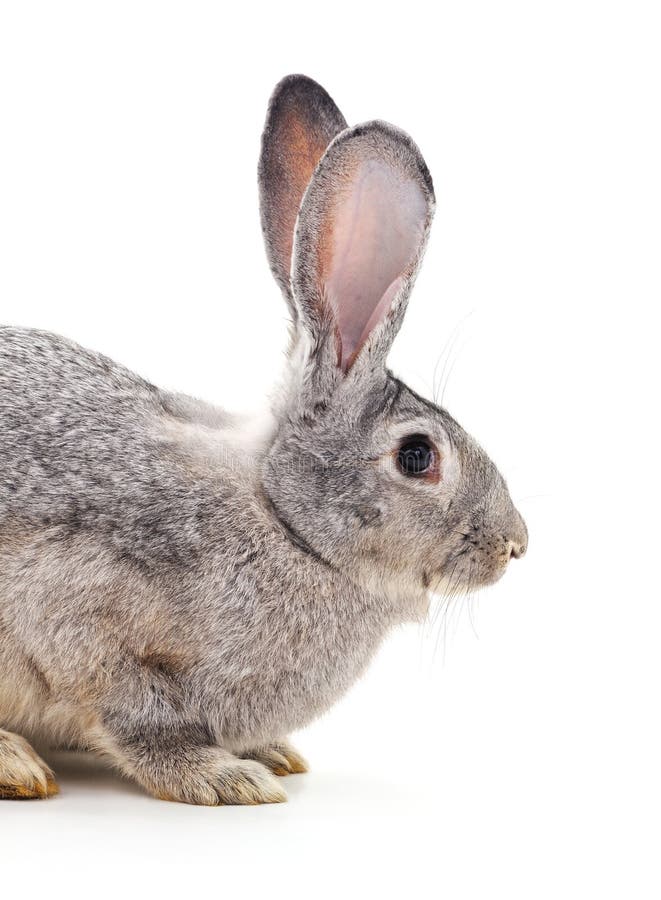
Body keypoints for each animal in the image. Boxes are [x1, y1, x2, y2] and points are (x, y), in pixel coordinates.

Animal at [0, 74, 527, 805]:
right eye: (417, 456)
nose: (516, 544)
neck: (285, 522)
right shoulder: (78, 619)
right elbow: (138, 717)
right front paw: (223, 777)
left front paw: (273, 755)